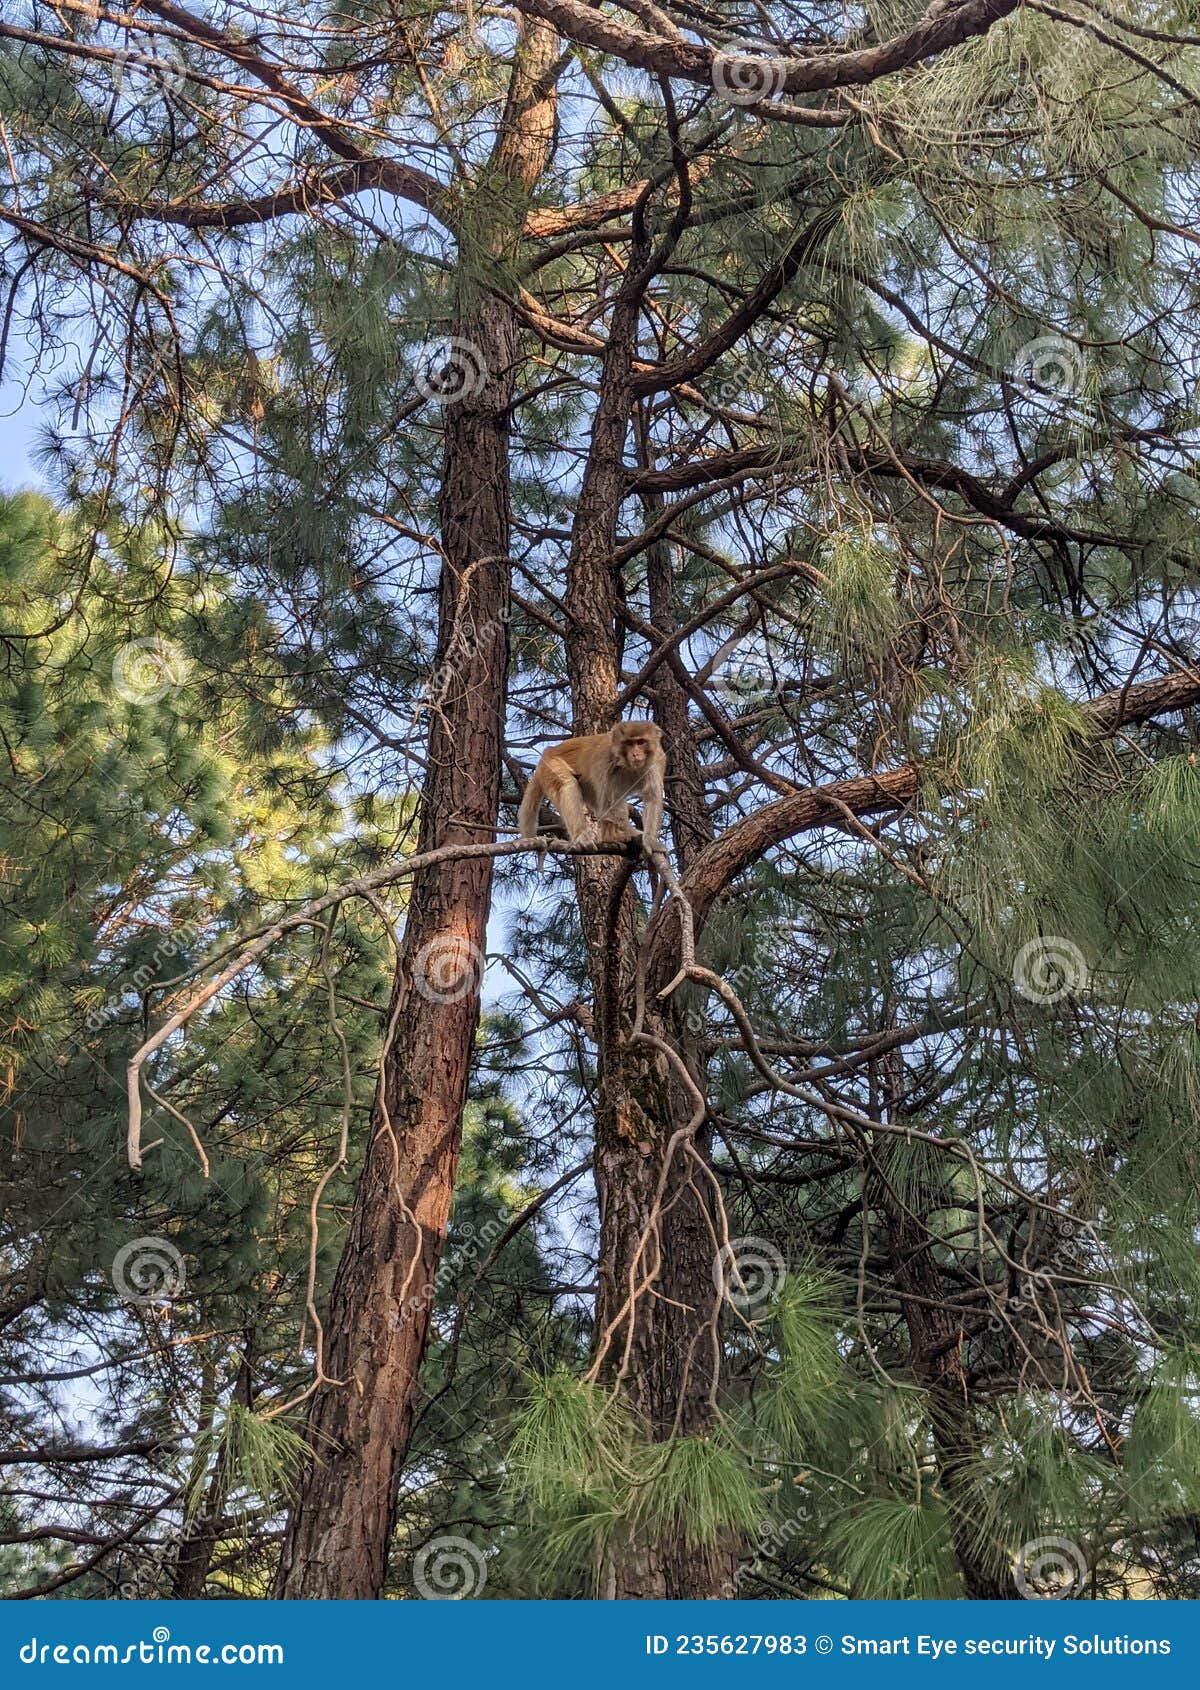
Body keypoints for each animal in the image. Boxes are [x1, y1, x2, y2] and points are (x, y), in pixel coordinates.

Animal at [518, 720, 666, 861]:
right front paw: (633, 834)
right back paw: (583, 835)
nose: (635, 754)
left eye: (640, 742)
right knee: (569, 784)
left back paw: (611, 836)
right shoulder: (604, 761)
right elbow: (607, 805)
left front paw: (649, 840)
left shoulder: (657, 761)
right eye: (629, 743)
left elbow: (652, 798)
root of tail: (548, 752)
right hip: (551, 765)